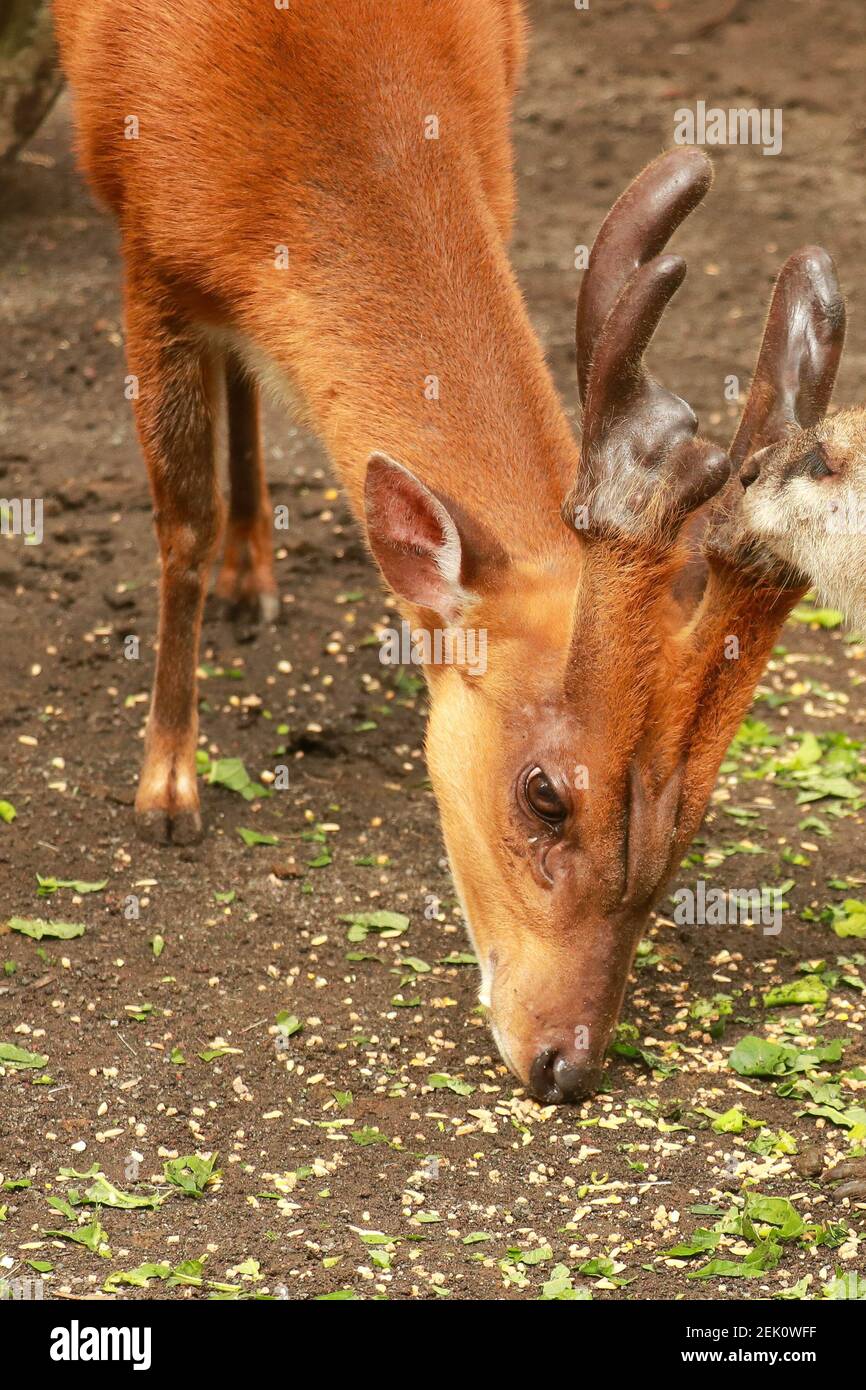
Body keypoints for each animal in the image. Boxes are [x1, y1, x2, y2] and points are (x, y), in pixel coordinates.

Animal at [51, 0, 845, 1102]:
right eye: (544, 794)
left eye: (690, 813)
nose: (565, 1061)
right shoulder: (147, 241)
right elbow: (180, 520)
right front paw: (166, 792)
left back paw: (258, 569)